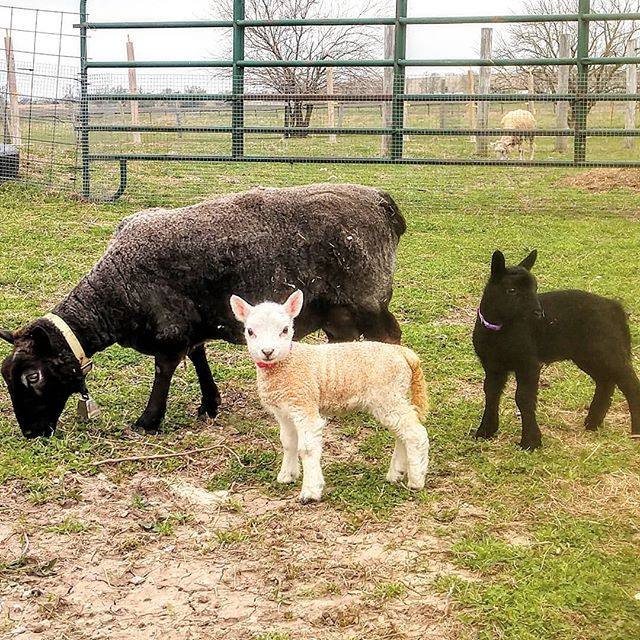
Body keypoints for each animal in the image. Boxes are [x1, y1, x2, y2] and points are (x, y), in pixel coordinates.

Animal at [0, 184, 406, 438]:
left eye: (33, 376)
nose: (31, 434)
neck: (116, 290)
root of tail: (382, 202)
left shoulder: (169, 329)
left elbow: (163, 371)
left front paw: (148, 421)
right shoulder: (190, 325)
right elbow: (198, 358)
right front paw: (210, 404)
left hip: (368, 297)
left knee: (391, 337)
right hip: (338, 309)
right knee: (345, 341)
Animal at [230, 289, 430, 504]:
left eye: (285, 330)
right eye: (250, 331)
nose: (267, 352)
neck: (287, 363)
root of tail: (403, 353)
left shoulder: (303, 403)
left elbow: (307, 448)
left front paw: (310, 491)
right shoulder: (283, 411)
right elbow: (288, 442)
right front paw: (287, 476)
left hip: (387, 394)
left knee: (415, 432)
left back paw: (416, 480)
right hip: (393, 396)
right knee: (402, 431)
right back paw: (396, 473)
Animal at [473, 250, 640, 451]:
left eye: (535, 288)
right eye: (511, 290)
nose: (539, 314)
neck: (499, 331)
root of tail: (614, 307)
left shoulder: (528, 363)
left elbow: (523, 398)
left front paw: (530, 442)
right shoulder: (493, 366)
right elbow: (490, 393)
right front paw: (485, 431)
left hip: (608, 349)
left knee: (631, 385)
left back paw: (635, 432)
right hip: (588, 355)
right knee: (605, 381)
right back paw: (593, 422)